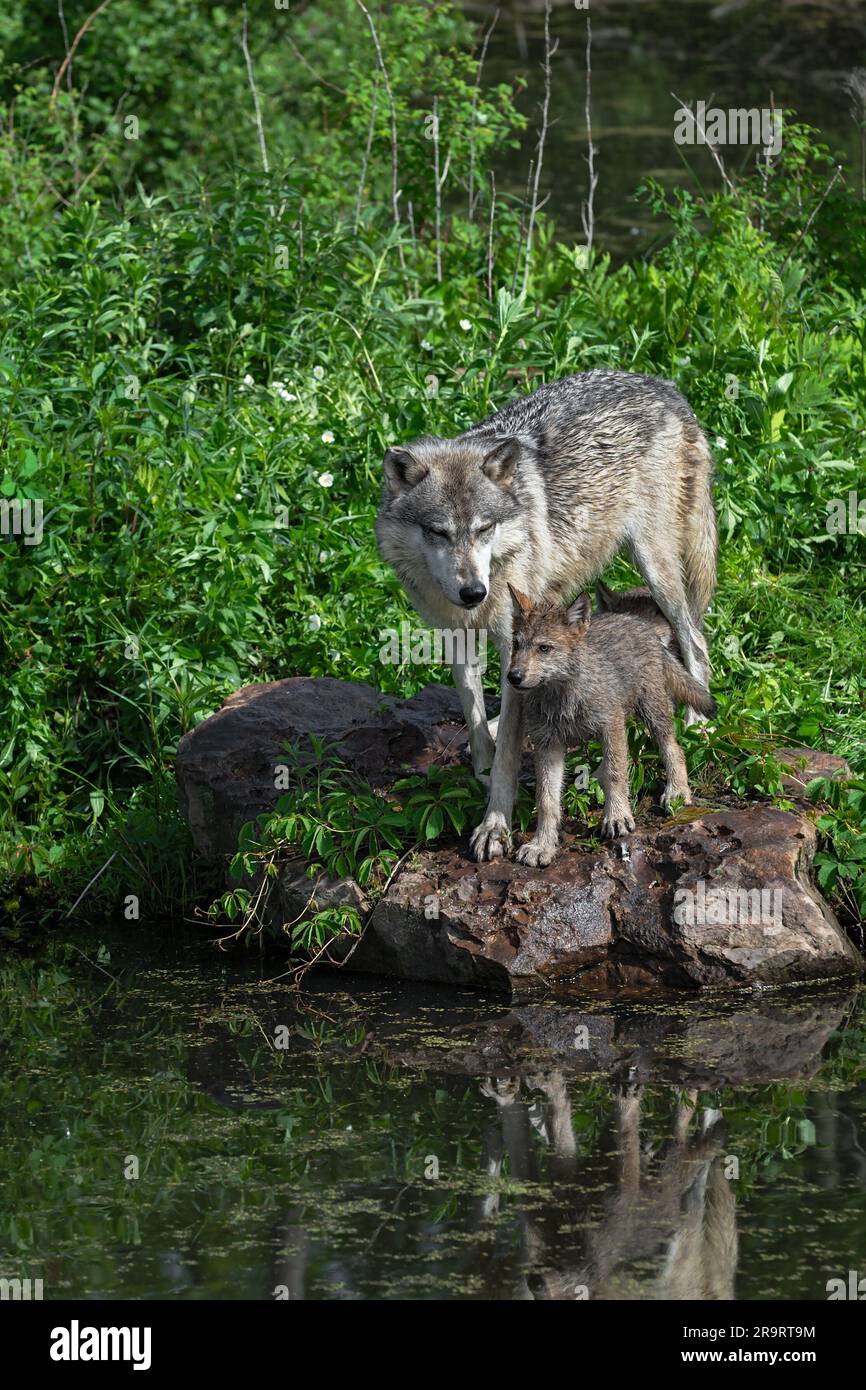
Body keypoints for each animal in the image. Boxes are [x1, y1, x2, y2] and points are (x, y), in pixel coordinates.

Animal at [506, 585, 716, 864]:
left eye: (544, 648)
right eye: (516, 645)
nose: (513, 676)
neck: (562, 698)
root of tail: (637, 621)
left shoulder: (611, 725)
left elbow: (616, 774)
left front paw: (617, 816)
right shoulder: (547, 745)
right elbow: (547, 801)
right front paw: (542, 845)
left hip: (653, 711)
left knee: (674, 748)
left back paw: (677, 791)